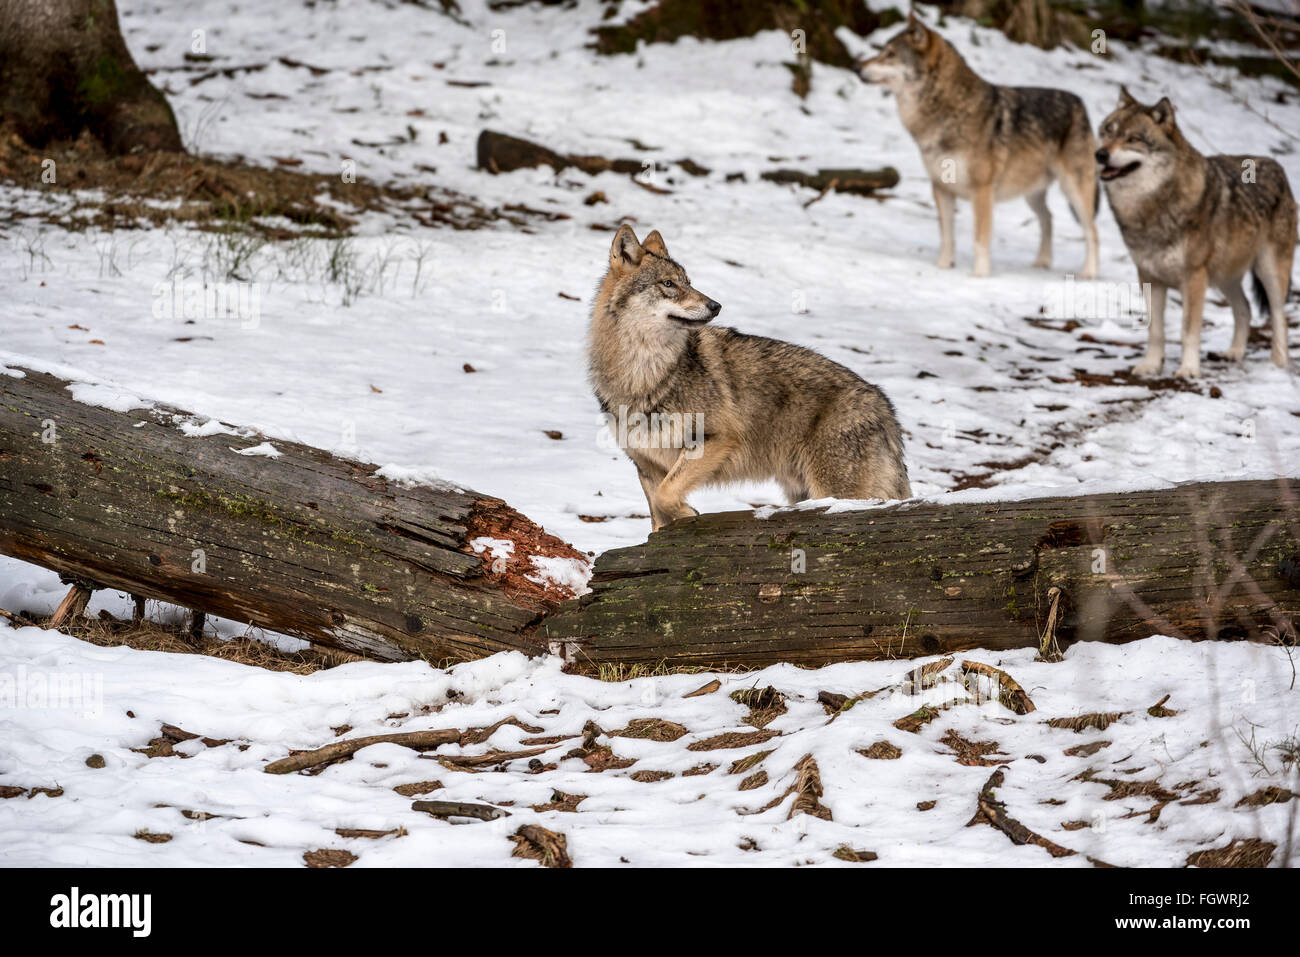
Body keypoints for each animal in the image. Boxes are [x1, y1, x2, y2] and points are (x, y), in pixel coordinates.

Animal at [589, 226, 912, 531]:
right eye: (668, 283)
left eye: (689, 282)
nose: (716, 305)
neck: (643, 375)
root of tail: (885, 406)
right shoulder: (646, 465)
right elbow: (657, 514)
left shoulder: (715, 440)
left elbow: (665, 495)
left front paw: (691, 515)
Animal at [858, 12, 1099, 279]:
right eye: (883, 51)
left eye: (889, 54)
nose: (856, 67)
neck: (946, 112)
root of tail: (1079, 102)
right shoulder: (940, 188)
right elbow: (947, 236)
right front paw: (943, 267)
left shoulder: (981, 191)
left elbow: (980, 239)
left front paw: (979, 276)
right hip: (1032, 195)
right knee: (1048, 218)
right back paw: (1042, 261)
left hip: (1074, 191)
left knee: (1092, 231)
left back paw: (1089, 273)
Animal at [1096, 87, 1296, 378]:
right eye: (1107, 132)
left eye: (1133, 139)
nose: (1100, 154)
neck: (1151, 208)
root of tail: (1277, 166)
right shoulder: (1149, 277)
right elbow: (1155, 331)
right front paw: (1151, 365)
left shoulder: (1193, 278)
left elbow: (1188, 330)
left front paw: (1189, 370)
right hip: (1225, 277)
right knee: (1245, 309)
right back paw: (1234, 353)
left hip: (1268, 271)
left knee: (1280, 316)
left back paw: (1278, 363)